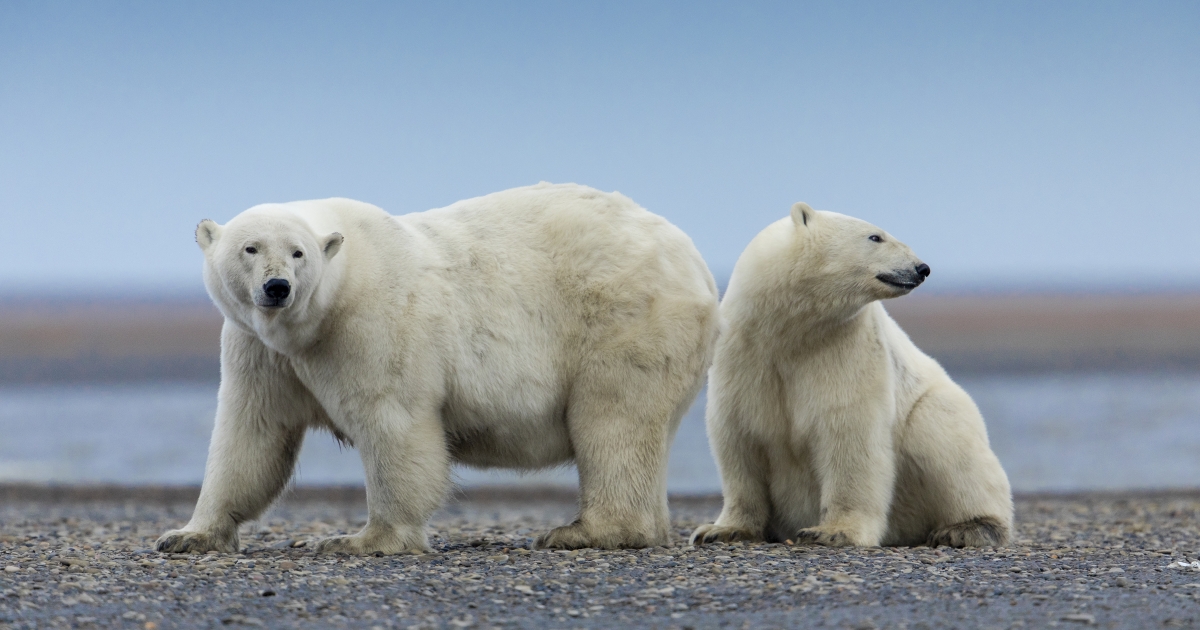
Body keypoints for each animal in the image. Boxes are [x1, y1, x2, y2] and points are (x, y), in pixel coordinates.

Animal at [155, 182, 719, 554]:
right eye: (249, 247)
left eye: (298, 252)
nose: (277, 288)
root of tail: (697, 264)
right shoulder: (260, 349)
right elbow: (251, 433)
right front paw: (188, 535)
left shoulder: (371, 324)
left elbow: (394, 425)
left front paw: (363, 539)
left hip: (623, 321)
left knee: (612, 420)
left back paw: (585, 531)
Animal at [691, 202, 1012, 548]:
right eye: (875, 236)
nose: (921, 268)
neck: (788, 330)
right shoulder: (744, 354)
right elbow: (739, 439)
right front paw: (720, 530)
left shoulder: (845, 346)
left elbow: (849, 434)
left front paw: (831, 531)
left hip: (934, 410)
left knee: (948, 442)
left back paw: (968, 528)